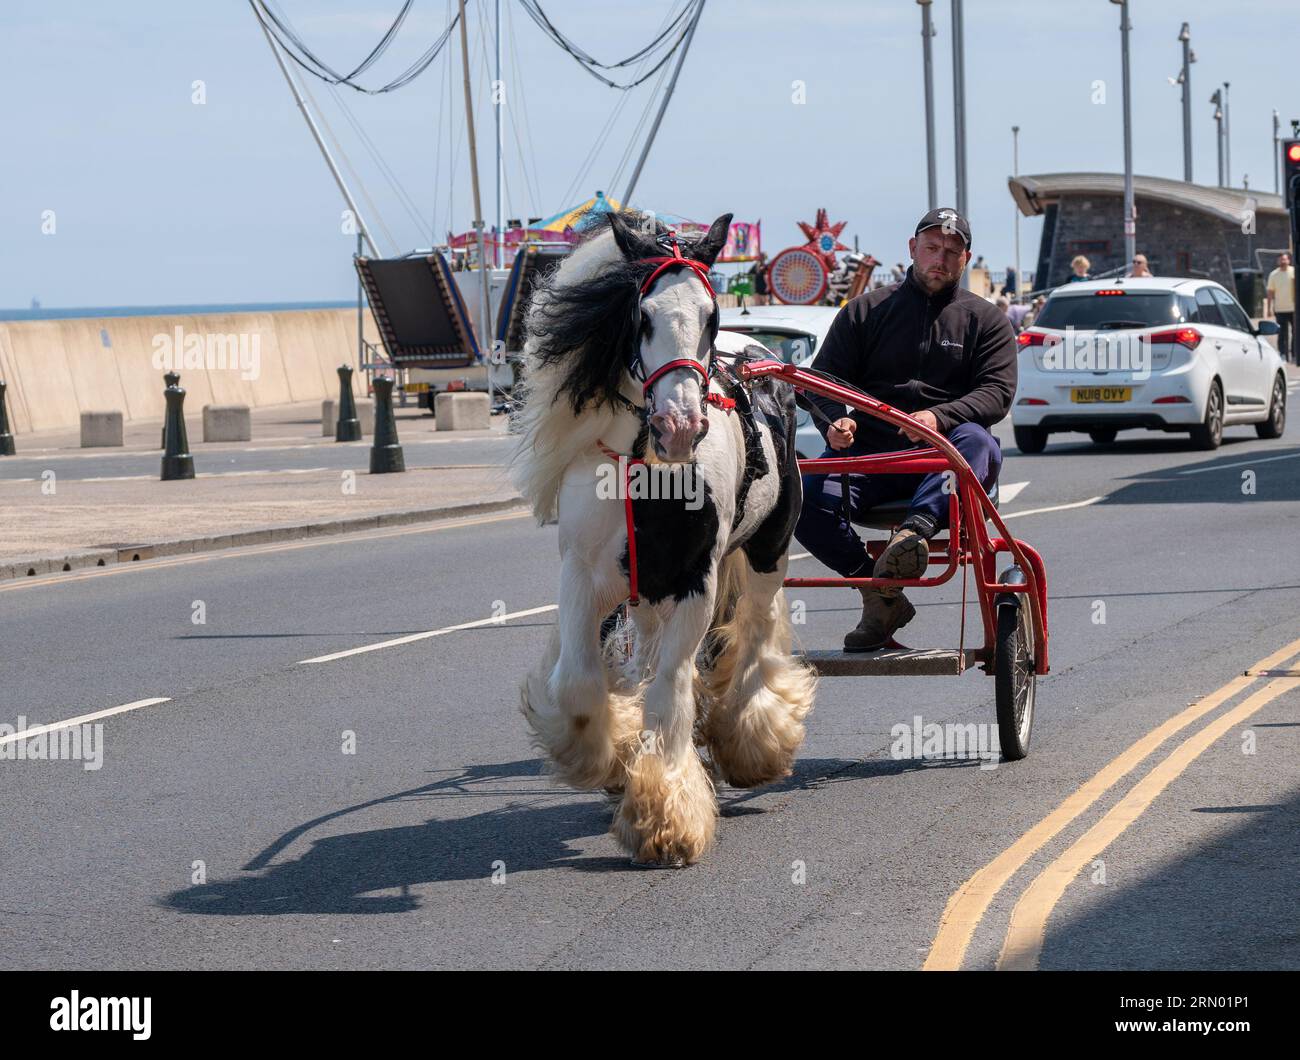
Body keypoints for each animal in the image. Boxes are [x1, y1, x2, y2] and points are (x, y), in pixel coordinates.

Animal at [511, 209, 817, 867]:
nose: (679, 425)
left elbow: (671, 689)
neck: (644, 463)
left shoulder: (693, 582)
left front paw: (665, 812)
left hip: (768, 551)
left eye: (711, 315)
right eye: (642, 315)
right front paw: (601, 756)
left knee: (755, 634)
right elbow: (579, 683)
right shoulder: (584, 576)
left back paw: (751, 738)